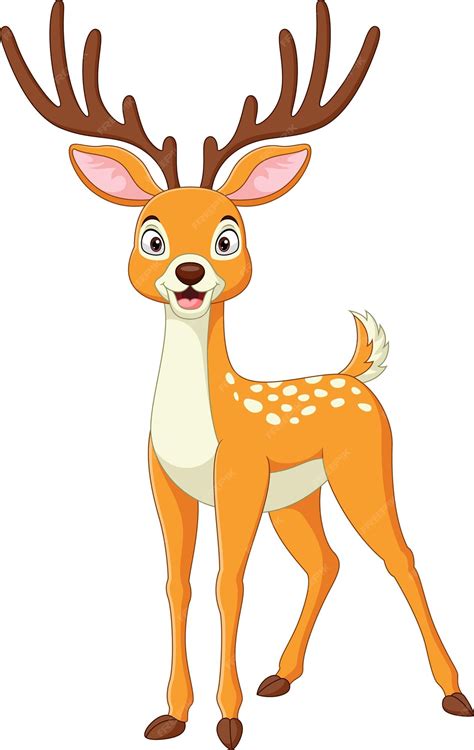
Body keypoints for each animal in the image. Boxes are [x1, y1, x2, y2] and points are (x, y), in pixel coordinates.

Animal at [1, 1, 472, 747]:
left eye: (229, 235)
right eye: (150, 235)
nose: (190, 273)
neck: (201, 429)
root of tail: (356, 376)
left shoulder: (240, 477)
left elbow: (230, 583)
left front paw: (227, 718)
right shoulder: (164, 484)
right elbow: (179, 585)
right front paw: (171, 712)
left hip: (363, 470)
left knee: (400, 555)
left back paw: (452, 695)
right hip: (297, 500)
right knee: (326, 561)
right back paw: (281, 676)